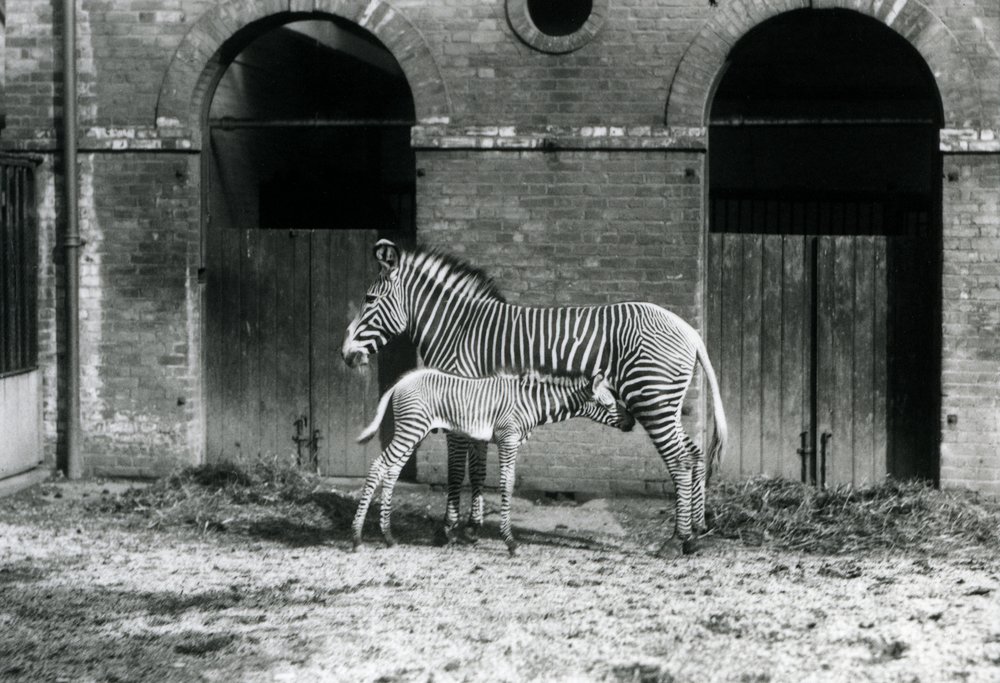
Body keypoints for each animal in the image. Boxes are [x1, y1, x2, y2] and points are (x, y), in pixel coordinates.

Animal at [351, 368, 631, 554]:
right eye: (608, 404)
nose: (631, 423)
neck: (531, 403)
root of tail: (402, 381)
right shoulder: (508, 440)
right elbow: (507, 484)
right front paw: (509, 541)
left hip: (413, 433)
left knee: (392, 471)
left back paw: (388, 536)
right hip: (411, 430)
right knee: (378, 467)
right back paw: (356, 537)